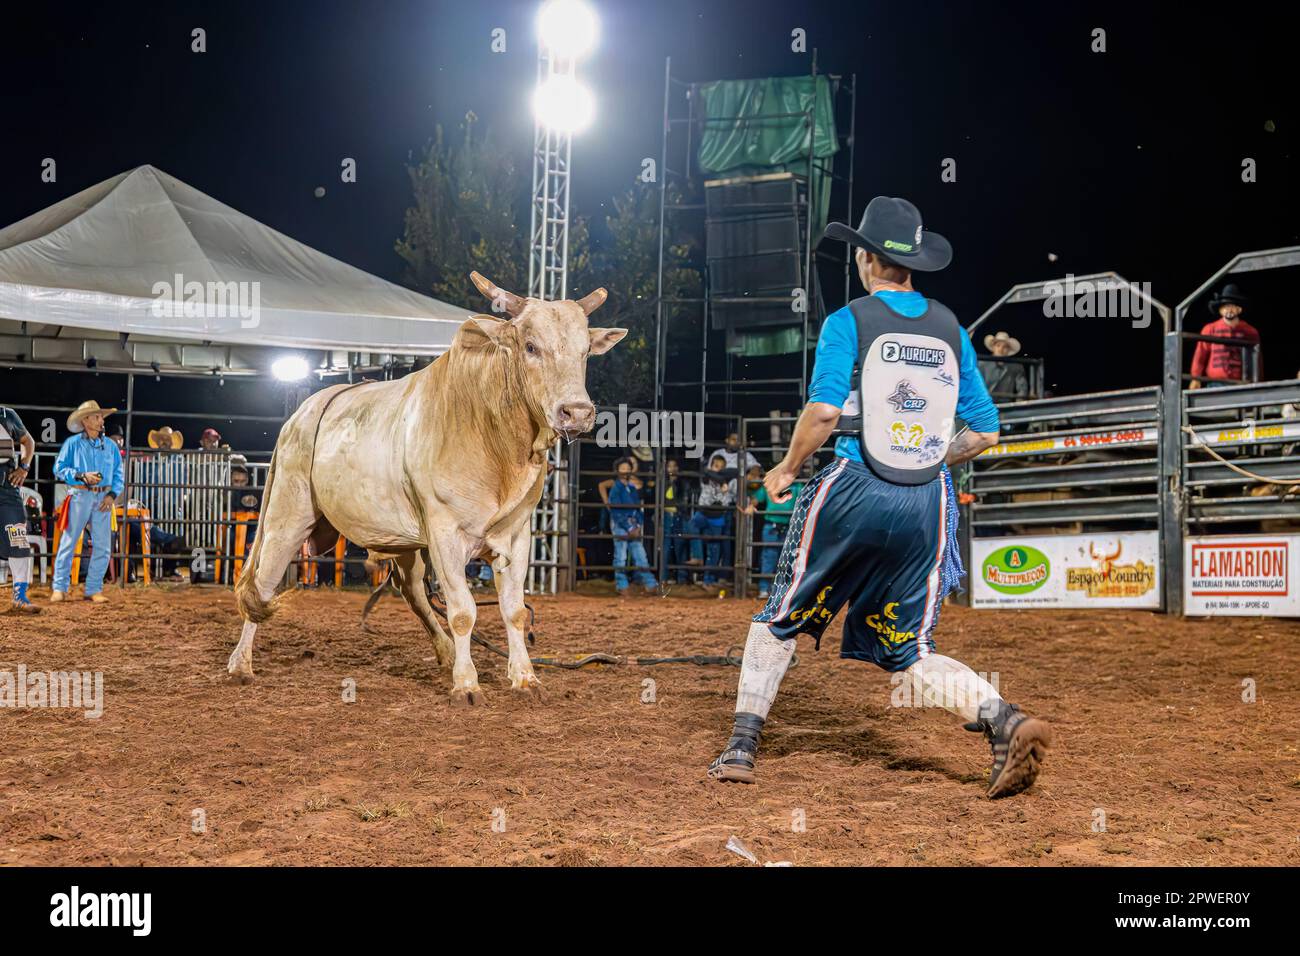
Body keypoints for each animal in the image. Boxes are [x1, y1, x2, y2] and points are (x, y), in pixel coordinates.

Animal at [229, 272, 625, 705]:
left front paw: (525, 677)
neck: (494, 436)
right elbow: (463, 611)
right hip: (287, 513)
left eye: (585, 351)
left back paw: (446, 652)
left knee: (413, 592)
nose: (577, 412)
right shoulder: (444, 533)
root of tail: (303, 413)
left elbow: (514, 610)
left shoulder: (517, 535)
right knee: (263, 584)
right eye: (531, 346)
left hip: (402, 543)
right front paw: (467, 685)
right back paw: (240, 664)